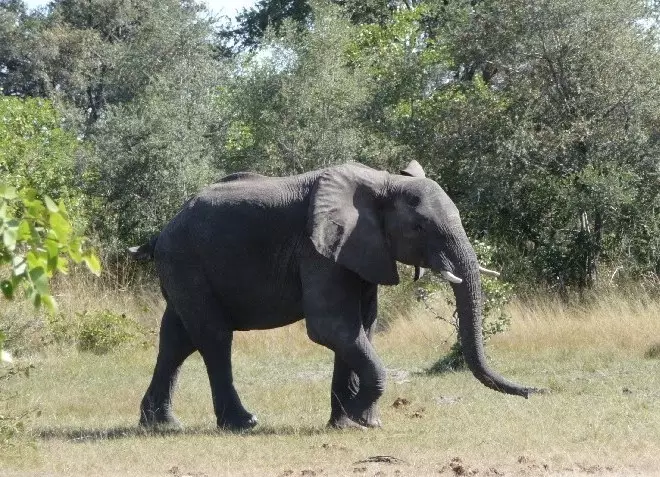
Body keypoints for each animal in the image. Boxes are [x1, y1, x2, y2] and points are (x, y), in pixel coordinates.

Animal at [131, 161, 540, 432]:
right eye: (419, 227)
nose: (535, 392)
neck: (383, 183)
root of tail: (161, 232)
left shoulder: (361, 250)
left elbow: (360, 327)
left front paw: (352, 423)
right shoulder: (318, 249)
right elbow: (332, 328)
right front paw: (360, 418)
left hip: (182, 267)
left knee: (177, 338)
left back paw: (161, 426)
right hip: (186, 260)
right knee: (213, 337)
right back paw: (242, 423)